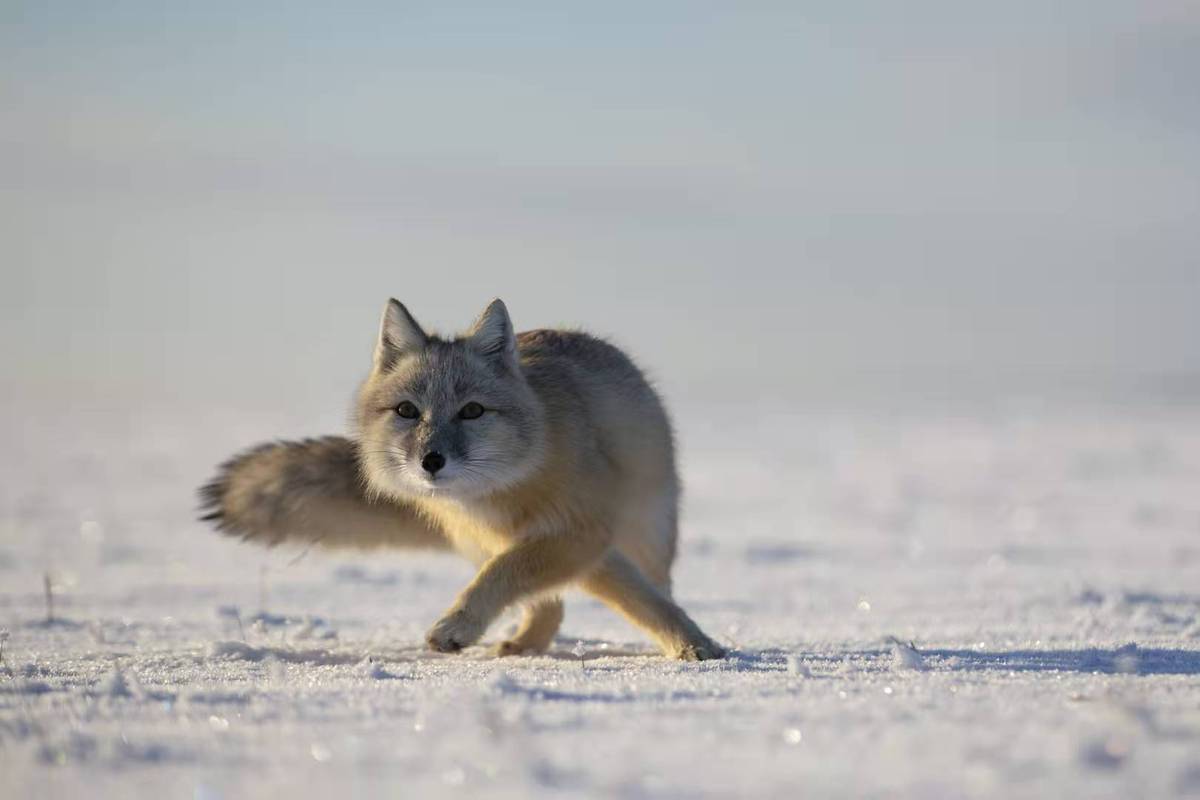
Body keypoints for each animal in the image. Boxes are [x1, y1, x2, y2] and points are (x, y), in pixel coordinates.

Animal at [199, 299, 725, 660]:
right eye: (407, 411)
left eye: (472, 411)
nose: (432, 460)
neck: (505, 493)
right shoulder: (559, 541)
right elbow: (512, 577)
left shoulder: (583, 530)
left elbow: (510, 575)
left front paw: (696, 647)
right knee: (548, 605)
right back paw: (524, 645)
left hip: (648, 534)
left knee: (639, 588)